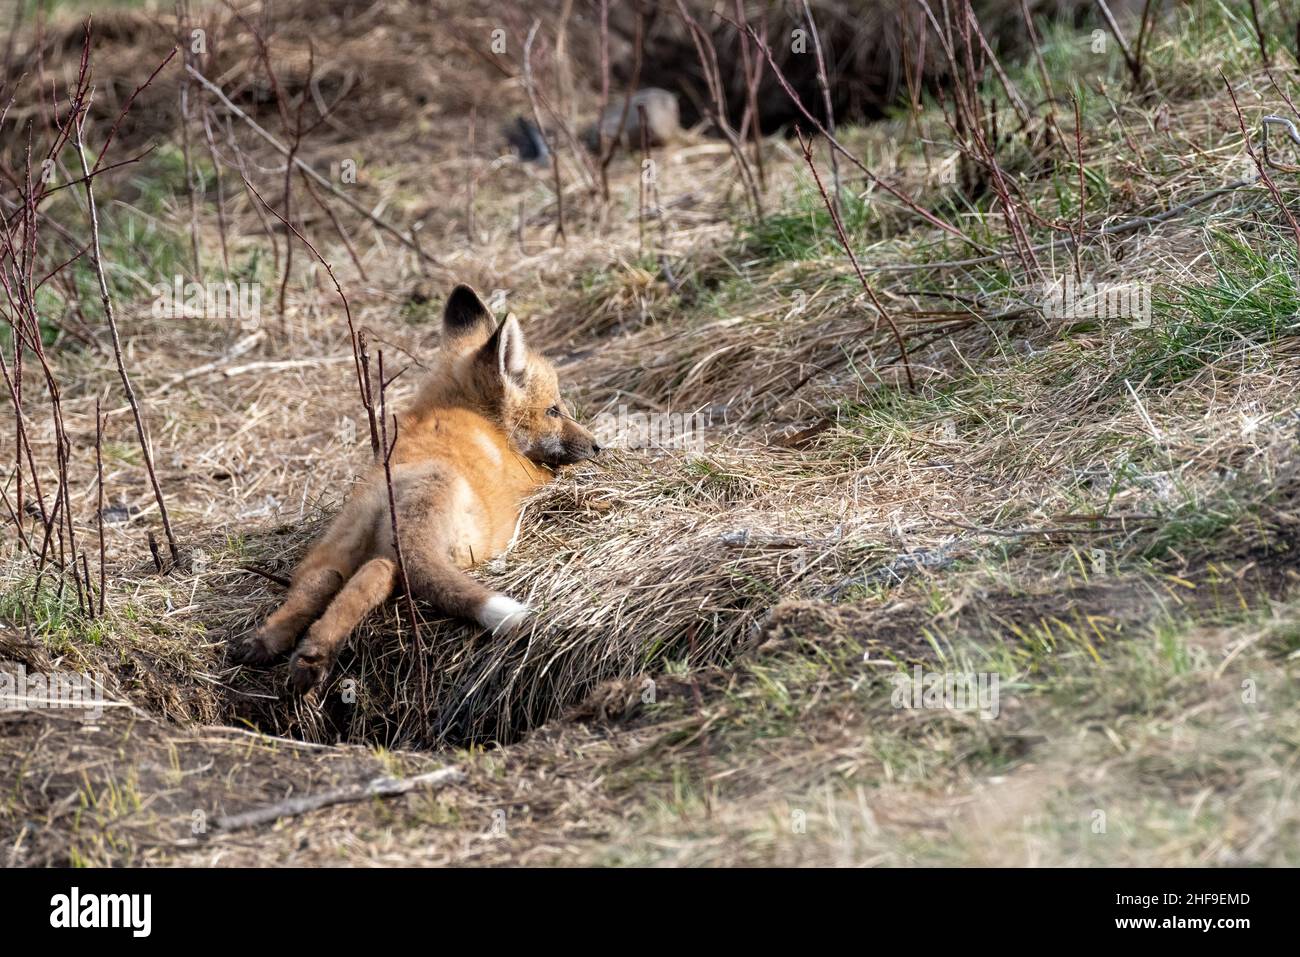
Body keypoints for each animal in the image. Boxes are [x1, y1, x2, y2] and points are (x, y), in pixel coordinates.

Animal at [230, 284, 601, 694]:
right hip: (455, 549)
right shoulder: (534, 479)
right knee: (379, 571)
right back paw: (316, 654)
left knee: (322, 580)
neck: (474, 416)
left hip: (335, 544)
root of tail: (409, 486)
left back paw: (280, 644)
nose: (597, 446)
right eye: (553, 410)